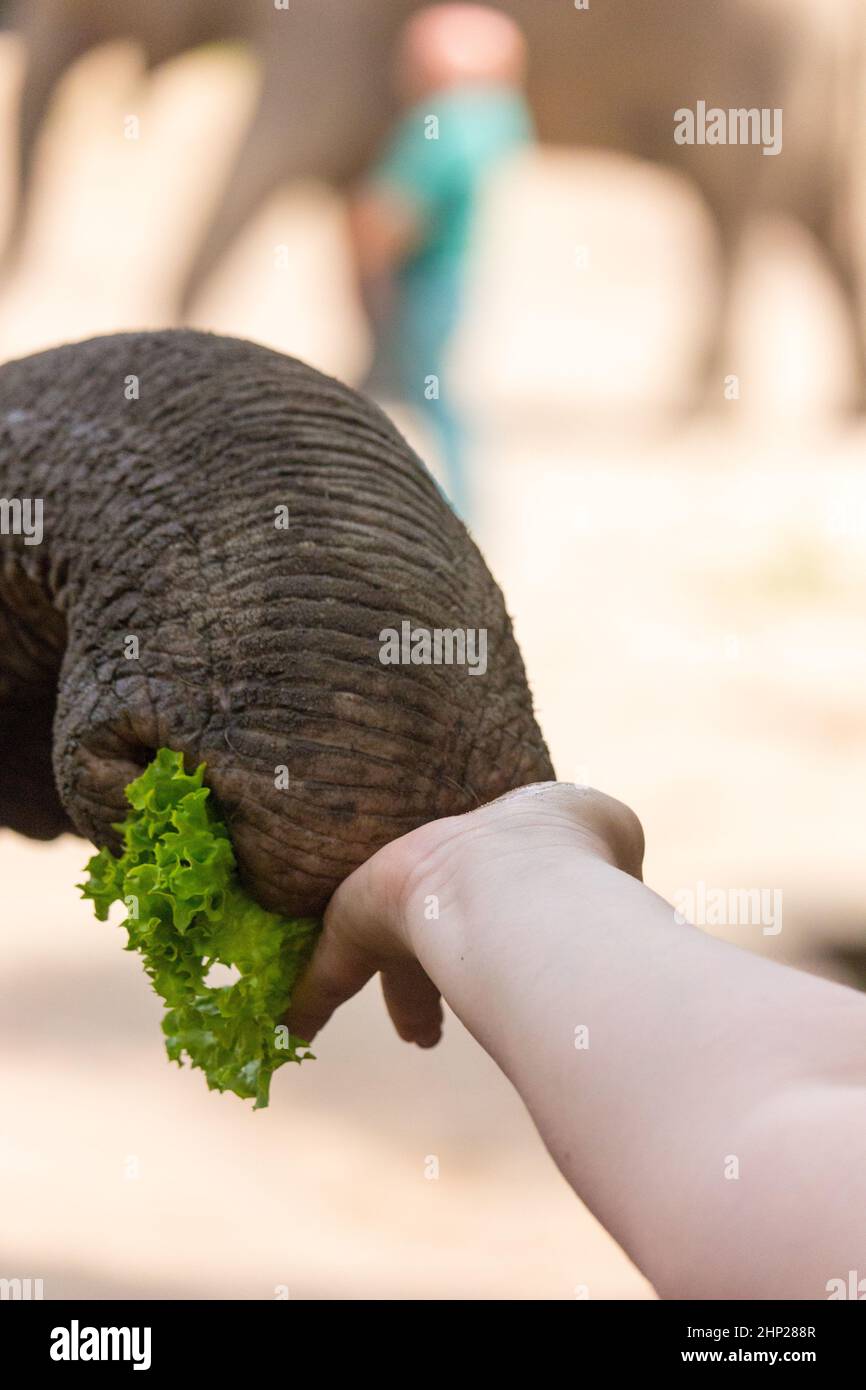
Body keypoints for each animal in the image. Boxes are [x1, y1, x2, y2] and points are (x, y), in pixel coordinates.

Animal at [3, 1, 864, 394]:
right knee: (819, 224)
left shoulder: (327, 29)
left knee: (730, 213)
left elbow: (293, 140)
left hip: (753, 65)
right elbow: (350, 176)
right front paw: (376, 380)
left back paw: (691, 408)